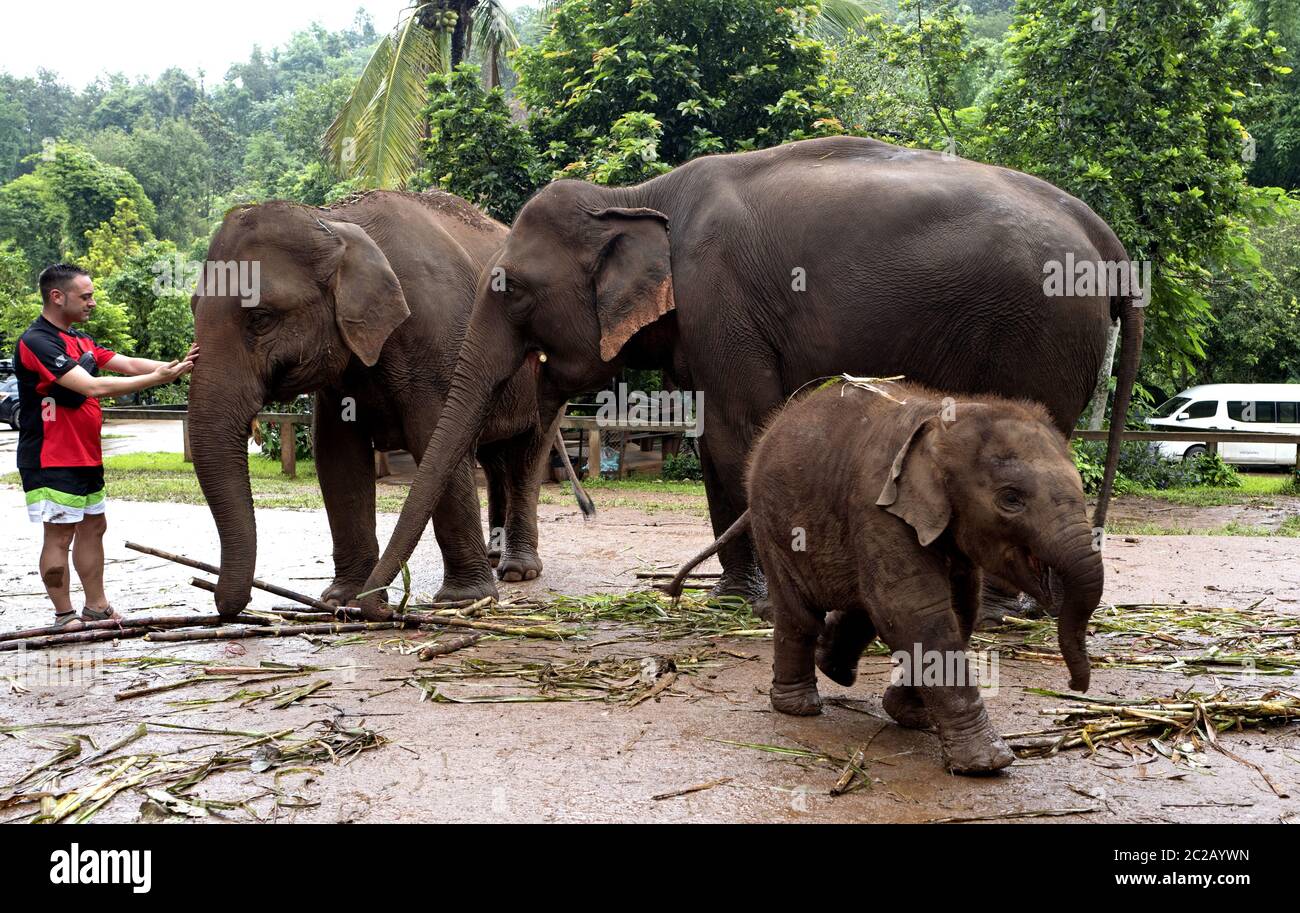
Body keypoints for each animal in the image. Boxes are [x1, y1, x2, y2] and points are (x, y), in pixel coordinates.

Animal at [188, 190, 590, 619]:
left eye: (260, 318)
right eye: (193, 308)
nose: (226, 602)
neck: (337, 221)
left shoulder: (438, 348)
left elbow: (435, 442)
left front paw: (462, 600)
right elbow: (338, 458)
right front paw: (341, 600)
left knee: (527, 457)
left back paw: (517, 571)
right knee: (495, 458)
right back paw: (495, 557)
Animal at [351, 135, 1142, 620]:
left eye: (510, 288)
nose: (358, 605)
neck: (638, 192)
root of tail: (1104, 236)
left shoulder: (720, 299)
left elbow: (740, 434)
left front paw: (752, 602)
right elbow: (711, 442)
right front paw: (734, 598)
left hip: (1044, 331)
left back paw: (1008, 610)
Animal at [668, 381, 1101, 774]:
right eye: (1011, 499)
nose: (1075, 687)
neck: (944, 418)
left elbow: (957, 609)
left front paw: (911, 716)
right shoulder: (878, 506)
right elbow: (916, 610)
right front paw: (987, 763)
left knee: (863, 601)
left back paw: (834, 668)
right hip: (772, 524)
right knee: (799, 613)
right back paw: (800, 707)